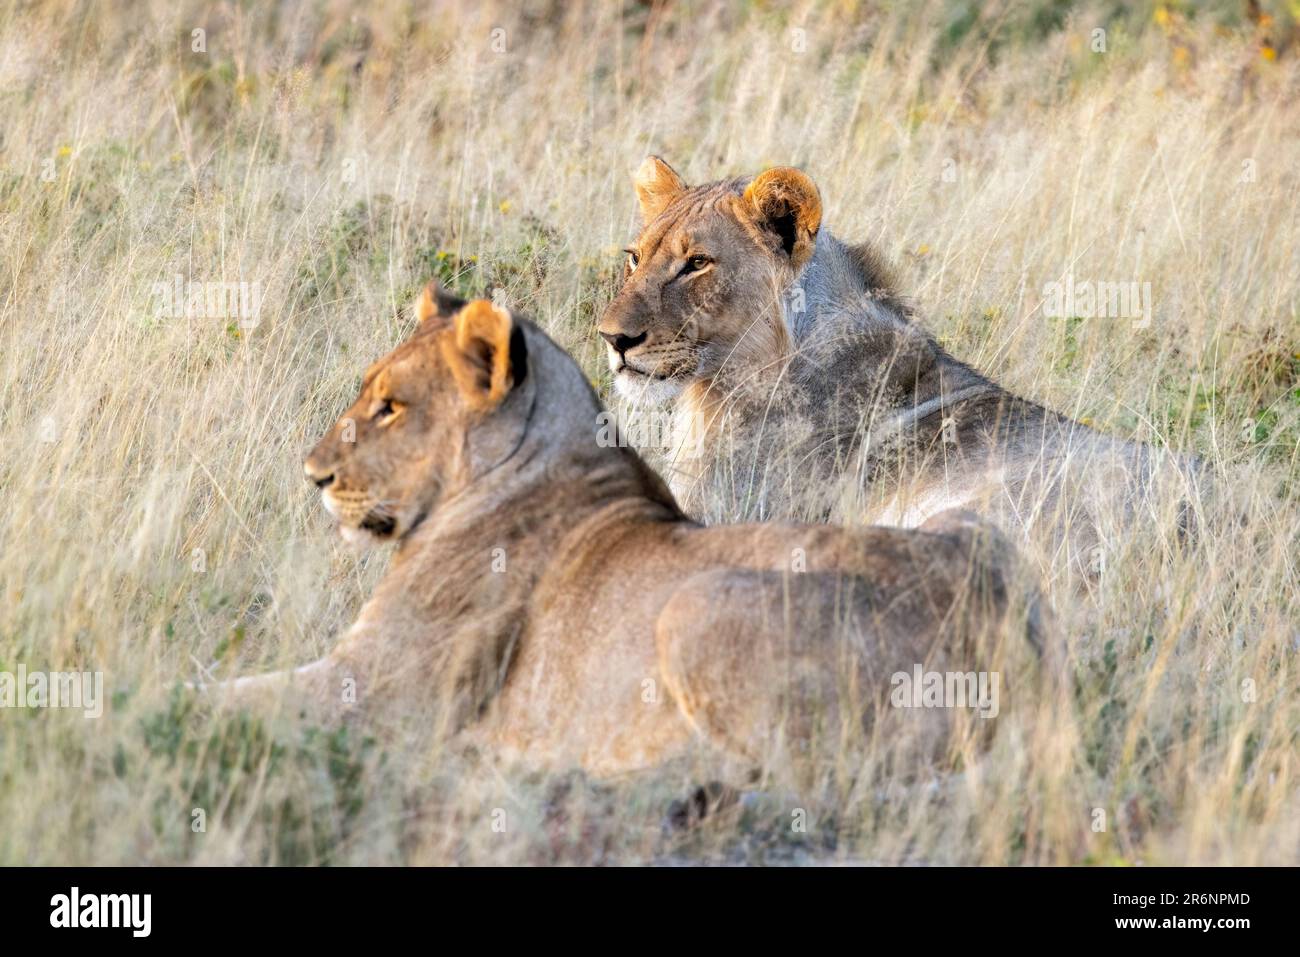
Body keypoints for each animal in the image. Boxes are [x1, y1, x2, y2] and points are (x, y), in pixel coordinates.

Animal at [213, 283, 1048, 785]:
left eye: (390, 406)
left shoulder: (379, 691)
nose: (314, 472)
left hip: (695, 606)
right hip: (977, 529)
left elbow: (233, 698)